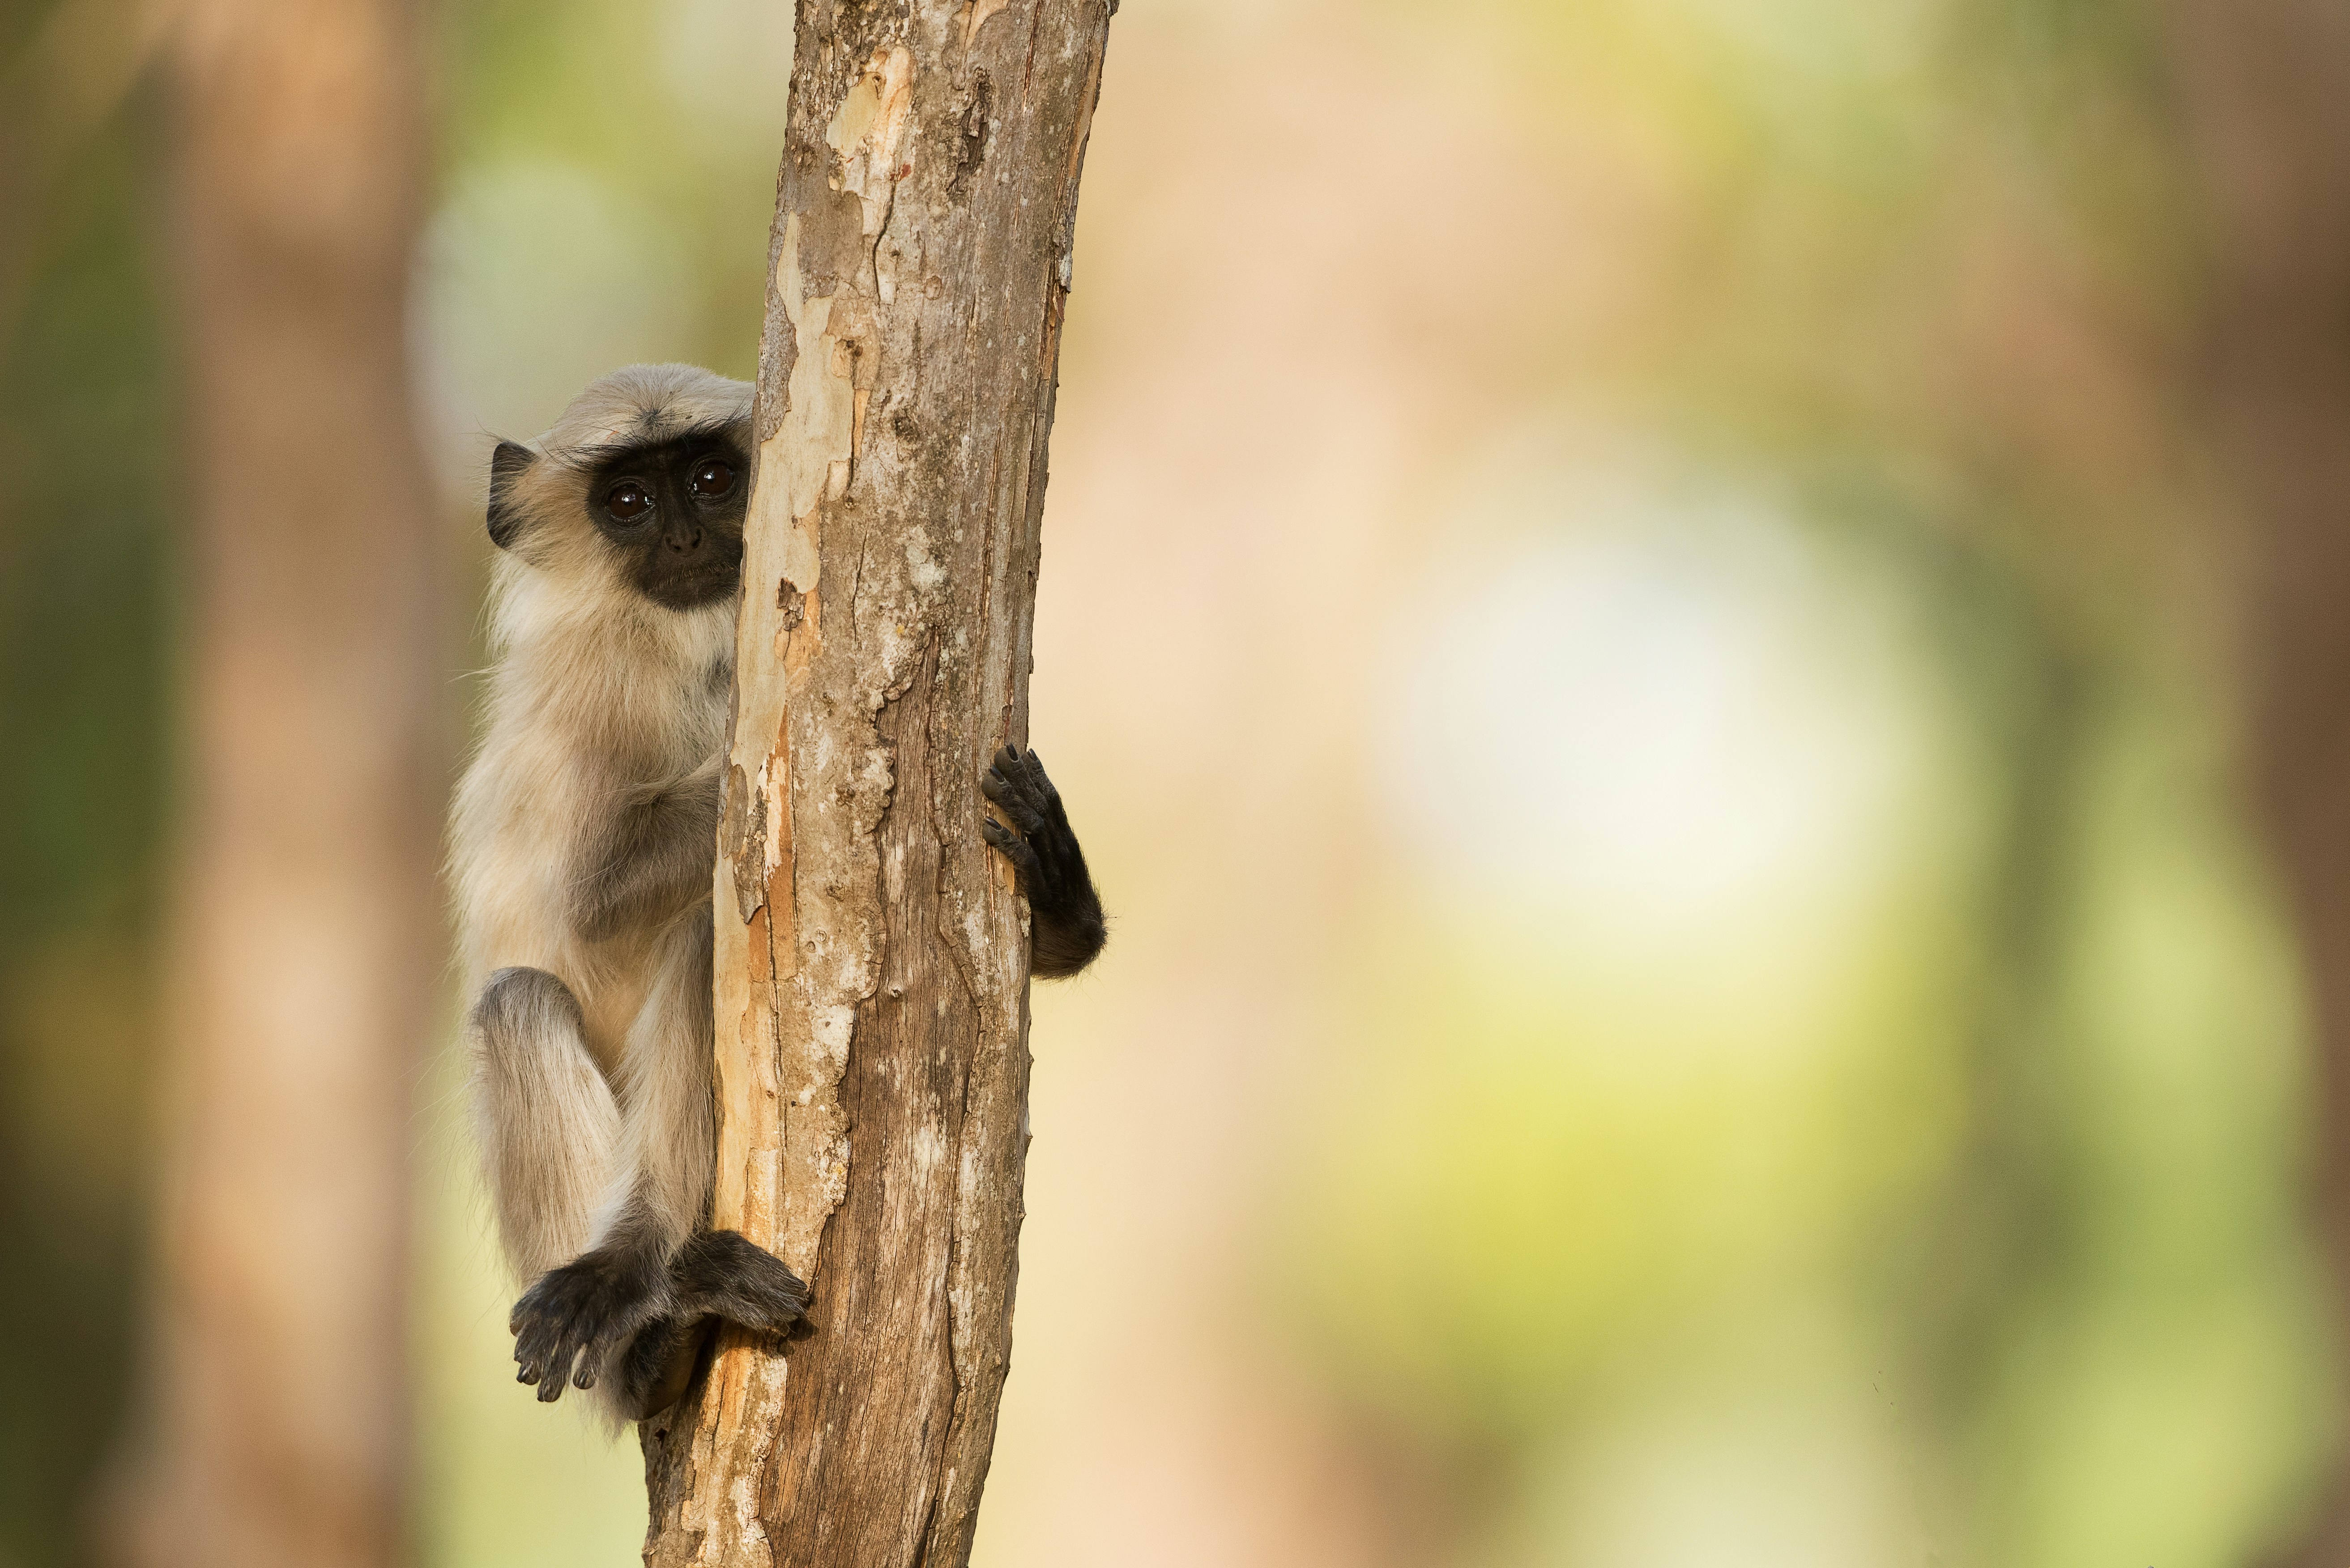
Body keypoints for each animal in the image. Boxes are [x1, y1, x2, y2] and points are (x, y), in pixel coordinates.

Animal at [448, 363, 1106, 1421]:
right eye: (628, 502)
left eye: (713, 480)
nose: (683, 539)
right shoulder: (602, 684)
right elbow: (591, 901)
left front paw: (1053, 877)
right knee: (543, 989)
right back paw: (642, 1302)